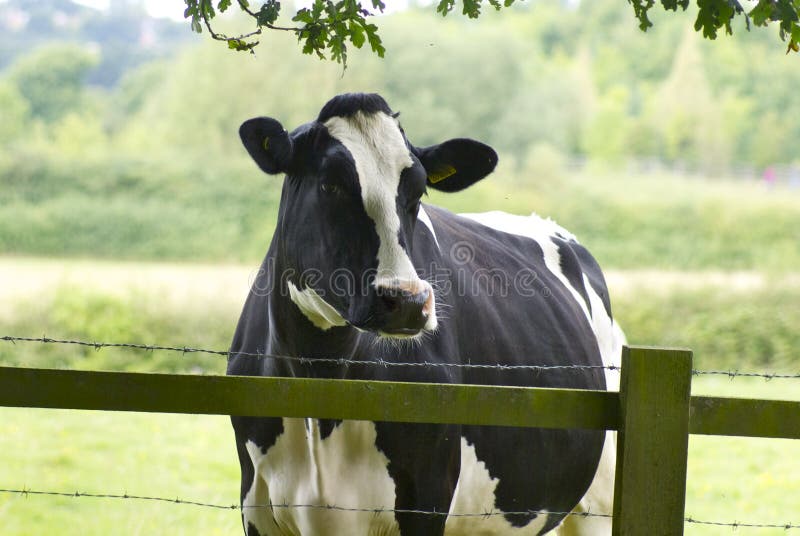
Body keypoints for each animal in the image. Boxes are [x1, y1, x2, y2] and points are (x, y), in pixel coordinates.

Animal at [228, 93, 625, 535]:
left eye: (418, 193)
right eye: (330, 183)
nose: (407, 301)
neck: (319, 377)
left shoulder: (427, 497)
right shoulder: (255, 505)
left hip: (598, 501)